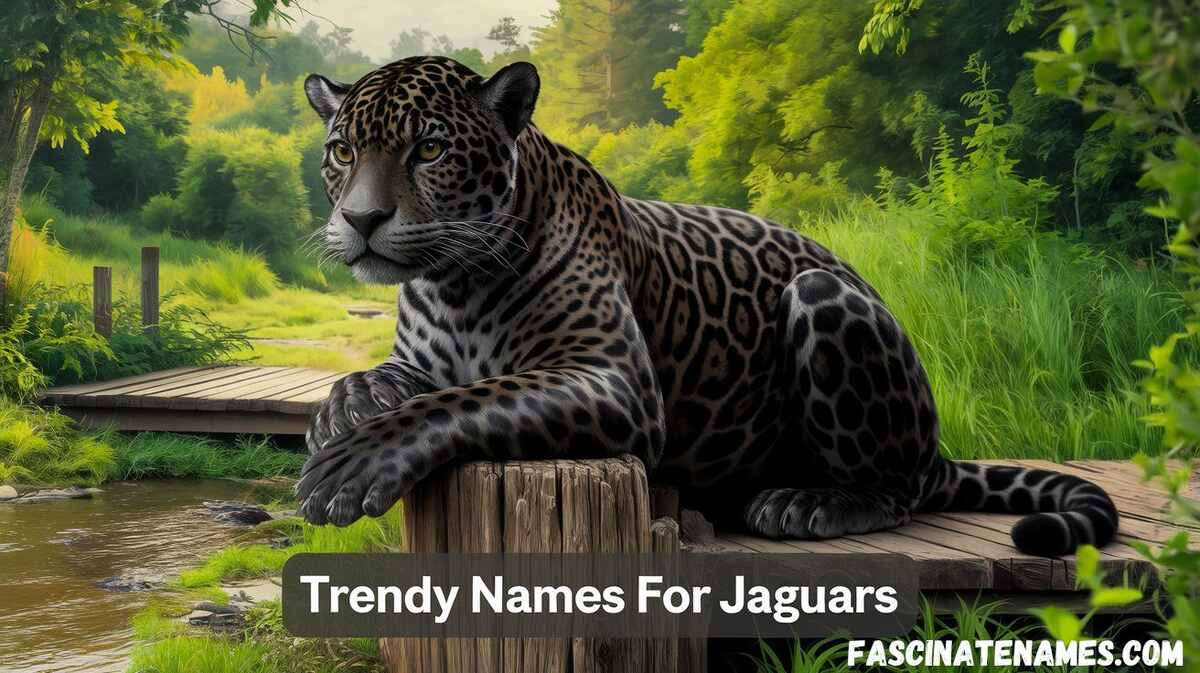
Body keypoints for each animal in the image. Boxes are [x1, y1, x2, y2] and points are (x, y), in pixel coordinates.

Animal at [297, 55, 1117, 557]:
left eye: (430, 151)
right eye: (343, 150)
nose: (361, 220)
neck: (453, 282)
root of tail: (938, 449)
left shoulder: (613, 379)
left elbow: (468, 398)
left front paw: (350, 464)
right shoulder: (422, 357)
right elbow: (392, 380)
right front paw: (346, 405)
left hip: (825, 302)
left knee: (901, 490)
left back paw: (808, 503)